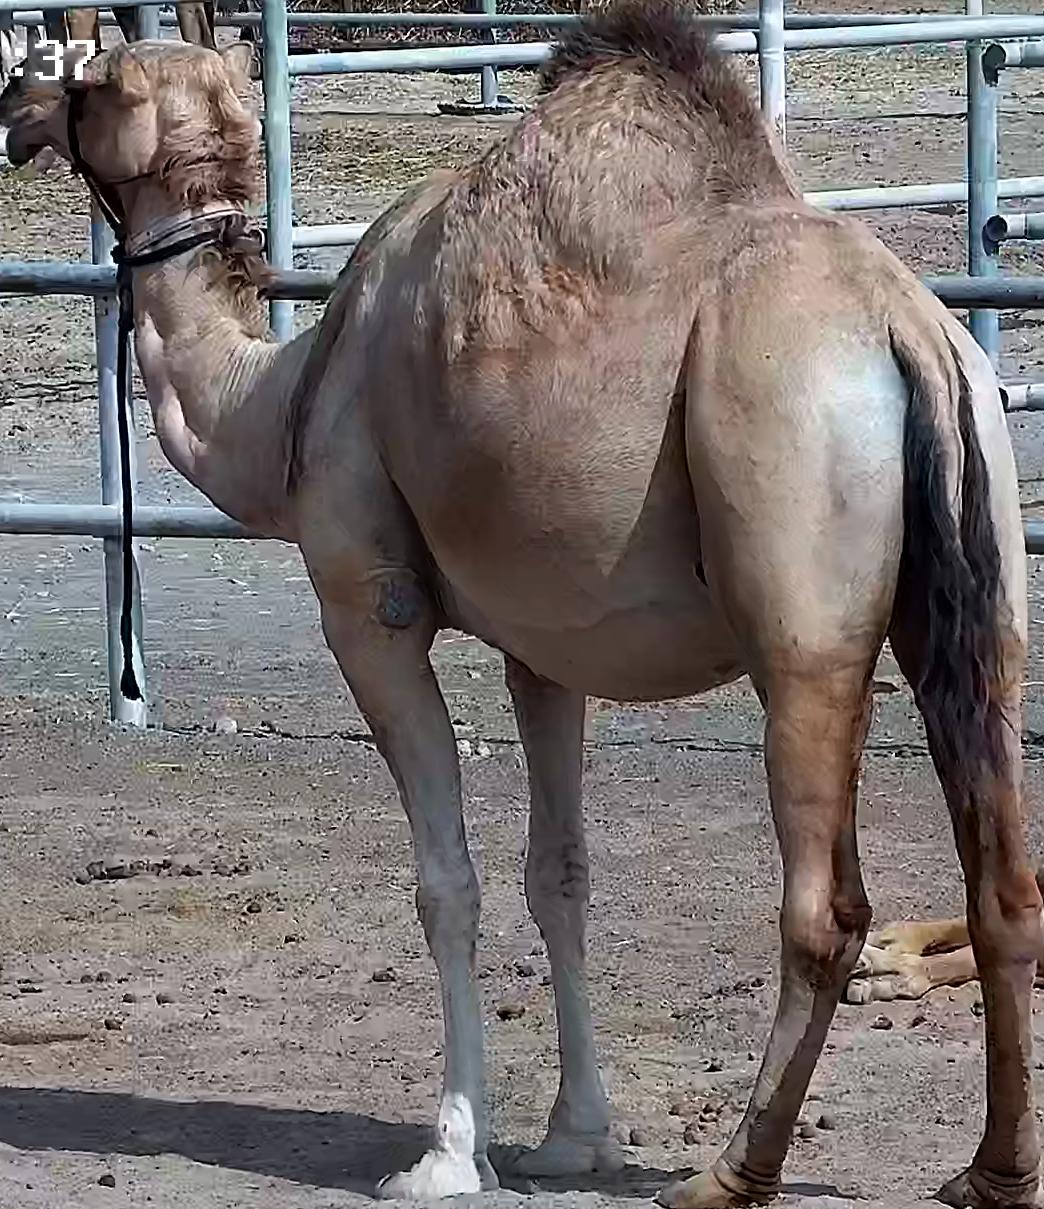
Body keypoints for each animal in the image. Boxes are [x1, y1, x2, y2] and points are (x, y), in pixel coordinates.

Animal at [1, 3, 1040, 1205]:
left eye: (87, 78)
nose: (16, 106)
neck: (281, 400)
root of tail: (907, 334)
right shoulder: (540, 648)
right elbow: (562, 875)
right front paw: (575, 1138)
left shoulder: (371, 606)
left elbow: (447, 881)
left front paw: (448, 1153)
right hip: (978, 575)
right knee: (1005, 881)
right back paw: (993, 1172)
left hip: (802, 599)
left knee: (825, 904)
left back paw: (730, 1172)